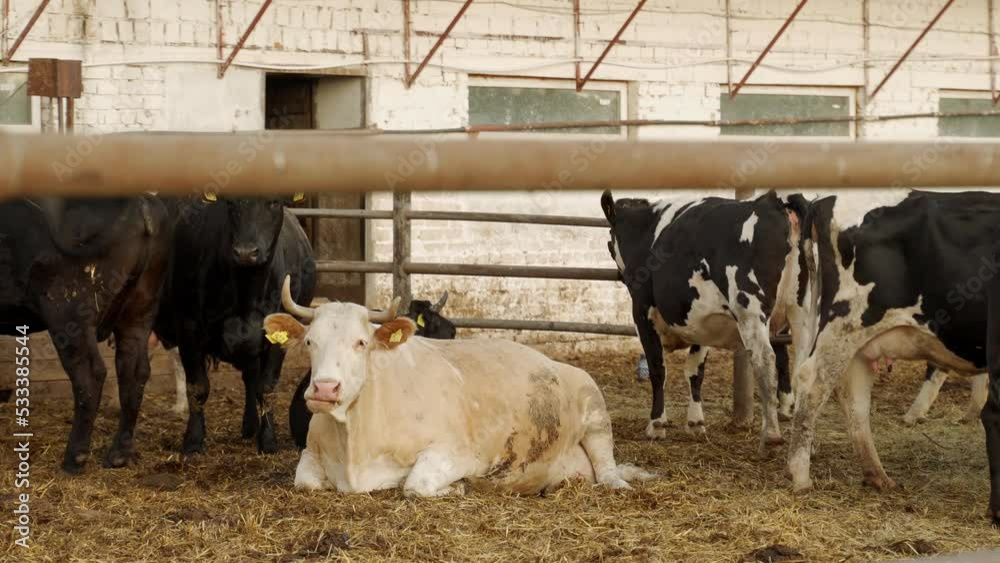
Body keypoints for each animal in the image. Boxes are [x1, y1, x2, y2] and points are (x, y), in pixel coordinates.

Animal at [0, 196, 173, 473]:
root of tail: (141, 201)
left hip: (69, 313)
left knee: (90, 375)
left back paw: (75, 457)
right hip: (140, 310)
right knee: (133, 372)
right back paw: (118, 454)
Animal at [153, 193, 315, 455]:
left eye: (274, 202)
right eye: (231, 203)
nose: (246, 252)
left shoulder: (276, 338)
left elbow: (266, 387)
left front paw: (268, 441)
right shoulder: (188, 329)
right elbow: (197, 386)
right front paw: (193, 441)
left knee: (251, 378)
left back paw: (251, 427)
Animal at [601, 190, 814, 454]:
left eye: (610, 236)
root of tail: (775, 201)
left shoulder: (642, 311)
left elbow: (658, 369)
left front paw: (656, 424)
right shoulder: (699, 321)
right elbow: (695, 371)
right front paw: (695, 423)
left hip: (751, 310)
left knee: (765, 360)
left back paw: (772, 434)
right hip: (801, 313)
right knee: (806, 366)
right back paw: (805, 442)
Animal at [780, 190, 1000, 526]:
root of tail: (825, 199)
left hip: (855, 341)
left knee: (854, 400)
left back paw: (877, 476)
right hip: (844, 324)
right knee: (811, 383)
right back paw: (801, 476)